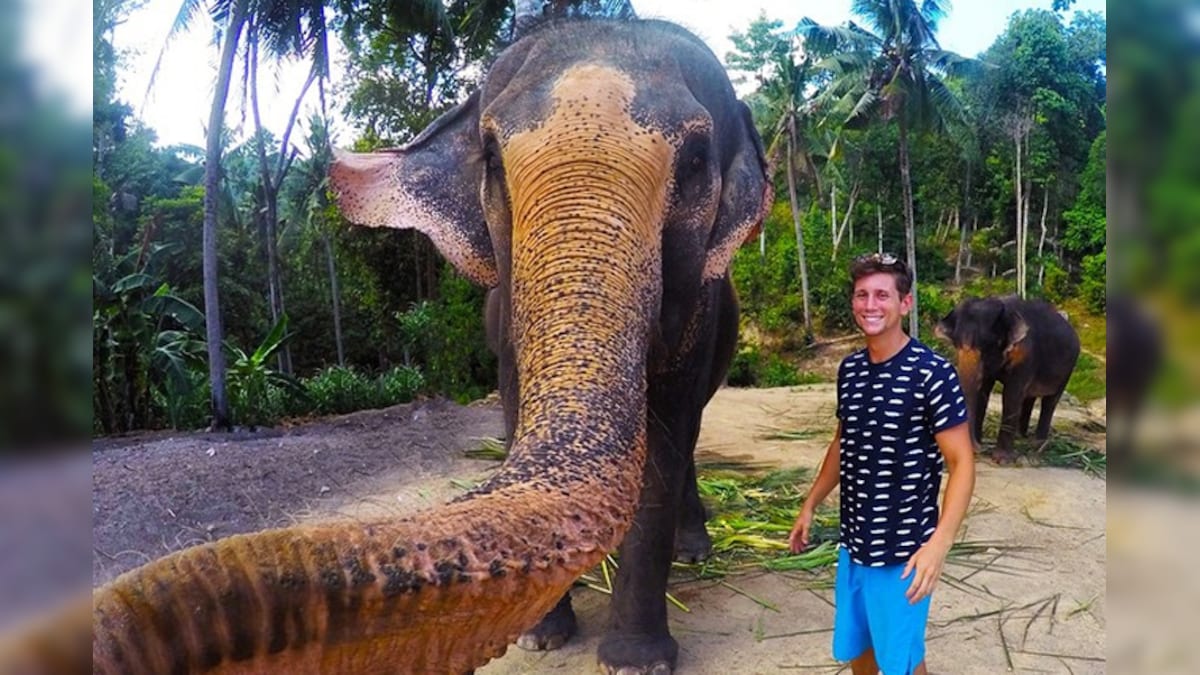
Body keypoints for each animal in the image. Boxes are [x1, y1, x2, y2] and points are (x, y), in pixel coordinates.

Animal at [74, 18, 772, 675]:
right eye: (491, 156)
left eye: (695, 160)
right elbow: (515, 408)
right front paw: (541, 638)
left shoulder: (698, 309)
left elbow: (664, 435)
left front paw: (634, 662)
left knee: (689, 432)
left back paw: (693, 552)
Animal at [935, 295, 1080, 463]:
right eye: (956, 344)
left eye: (987, 345)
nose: (977, 449)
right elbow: (984, 392)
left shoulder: (1025, 356)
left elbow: (1011, 395)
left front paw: (1002, 460)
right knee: (1029, 398)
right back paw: (1020, 437)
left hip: (1068, 369)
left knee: (1050, 402)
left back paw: (1037, 447)